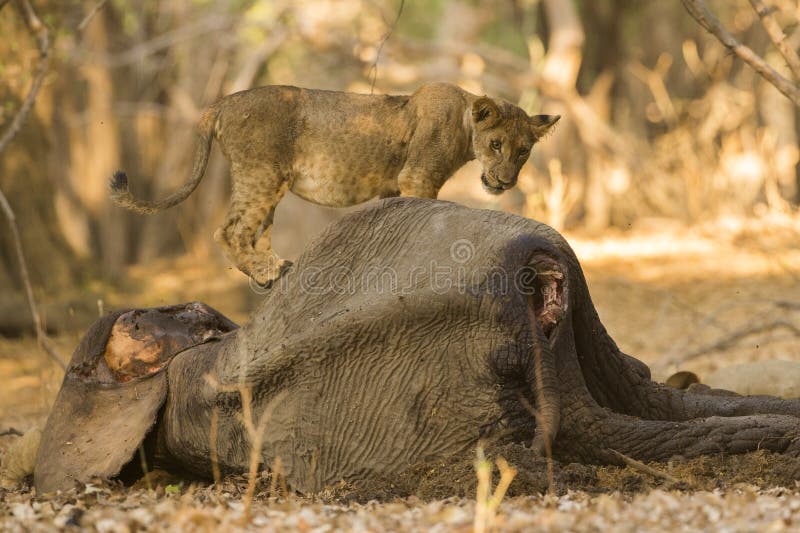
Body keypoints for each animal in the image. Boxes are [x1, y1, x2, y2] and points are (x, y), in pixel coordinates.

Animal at [110, 82, 560, 286]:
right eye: (496, 144)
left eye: (523, 152)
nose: (505, 181)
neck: (465, 127)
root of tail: (223, 101)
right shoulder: (417, 177)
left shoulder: (399, 185)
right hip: (262, 174)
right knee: (229, 230)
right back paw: (267, 271)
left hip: (269, 181)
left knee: (253, 233)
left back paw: (273, 267)